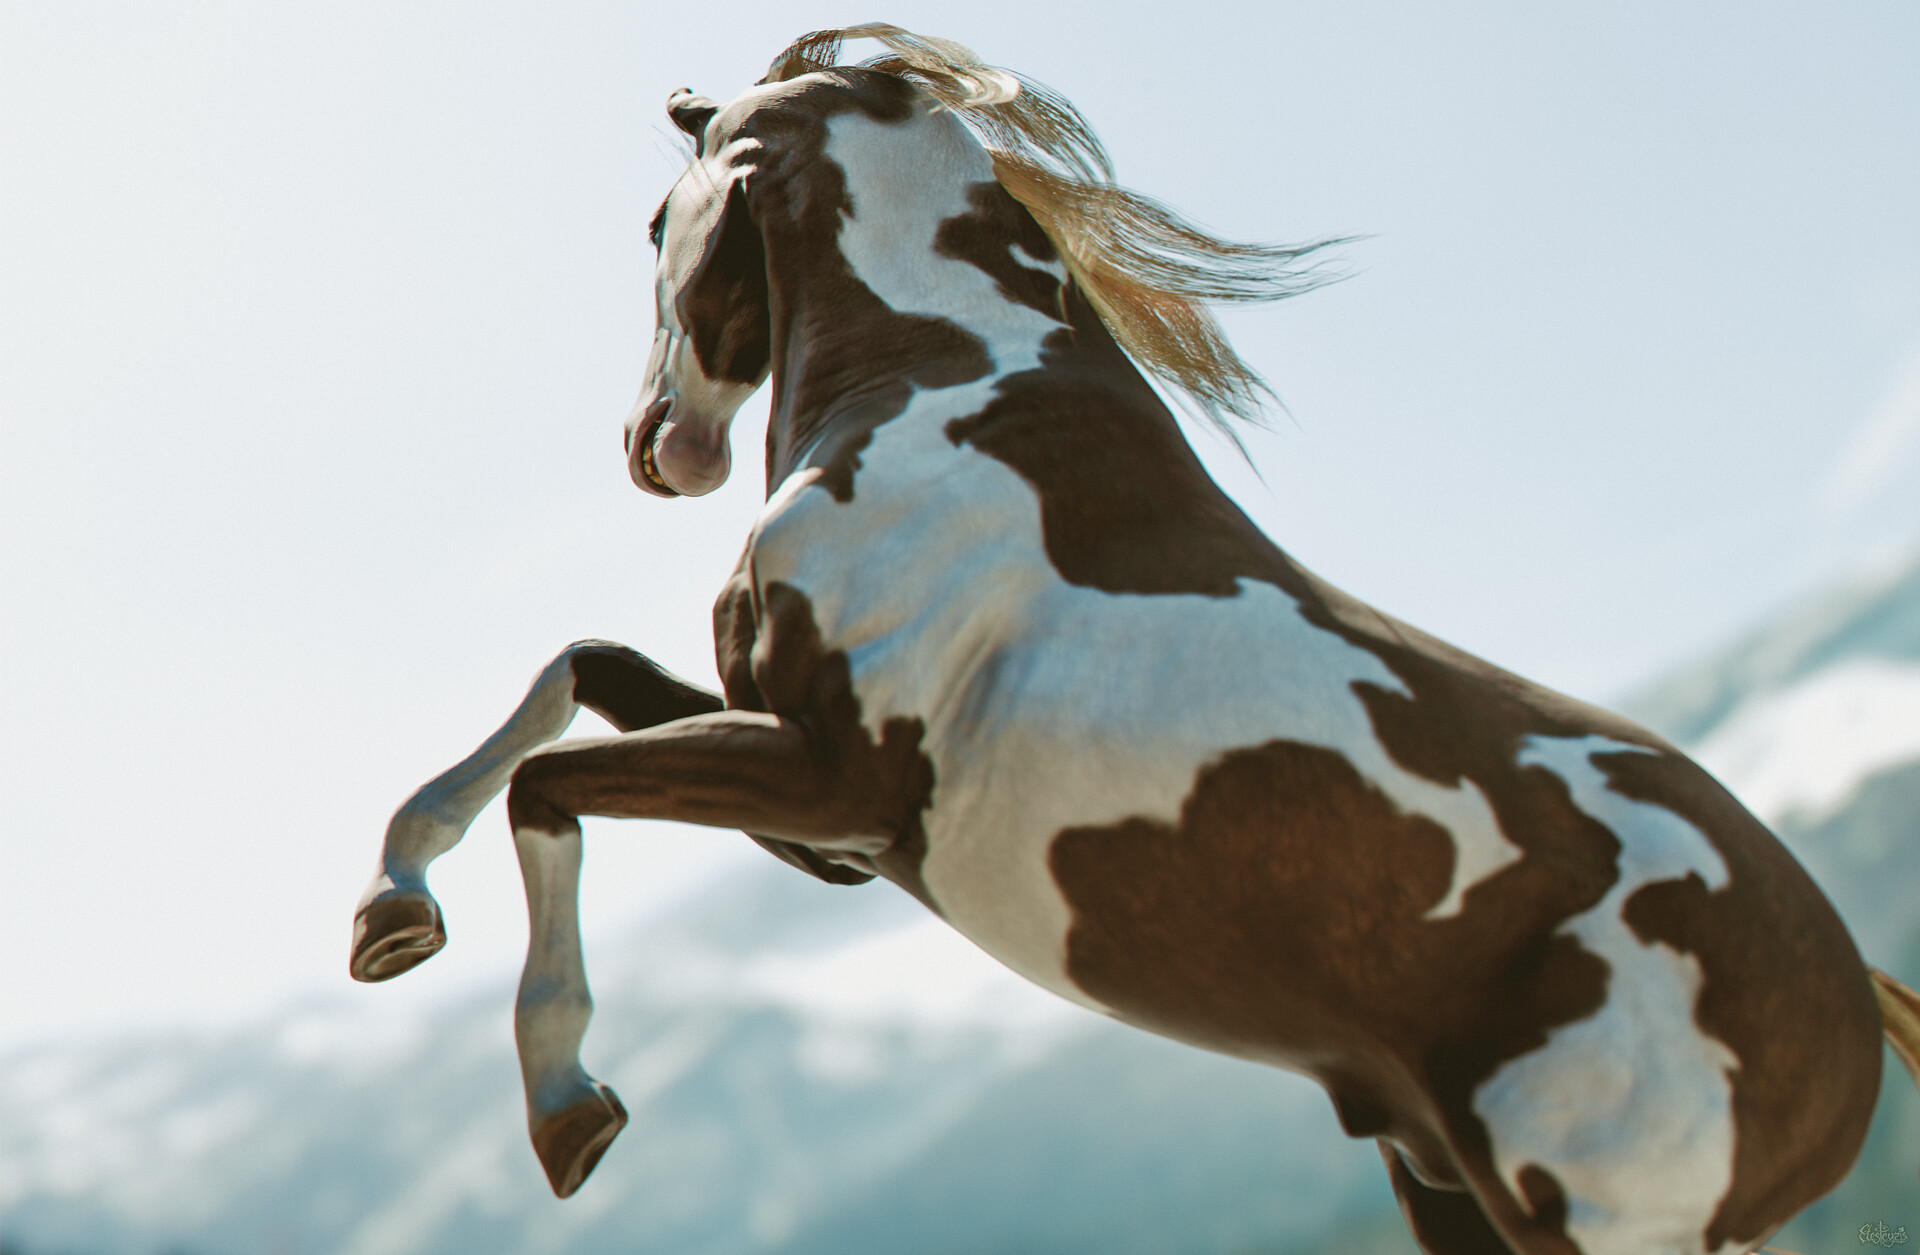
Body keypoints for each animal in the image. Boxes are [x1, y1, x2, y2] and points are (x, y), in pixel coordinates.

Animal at [349, 26, 1920, 1255]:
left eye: (650, 226)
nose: (654, 446)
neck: (939, 390)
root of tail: (1851, 1007)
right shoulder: (830, 829)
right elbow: (575, 677)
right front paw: (393, 913)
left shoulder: (836, 776)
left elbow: (549, 780)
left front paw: (565, 1103)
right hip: (1444, 1183)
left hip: (1587, 1208)